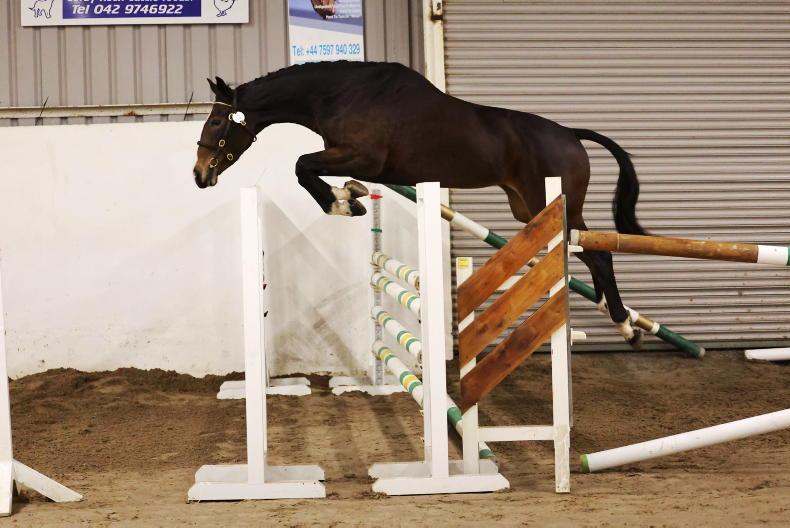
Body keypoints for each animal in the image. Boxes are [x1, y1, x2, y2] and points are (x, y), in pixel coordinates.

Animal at [193, 61, 648, 348]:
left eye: (214, 121)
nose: (199, 175)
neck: (341, 93)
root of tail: (570, 133)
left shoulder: (362, 157)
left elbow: (302, 165)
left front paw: (343, 203)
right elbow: (309, 169)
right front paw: (352, 197)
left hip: (551, 204)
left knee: (598, 254)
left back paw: (625, 325)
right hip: (528, 209)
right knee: (587, 252)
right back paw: (617, 316)